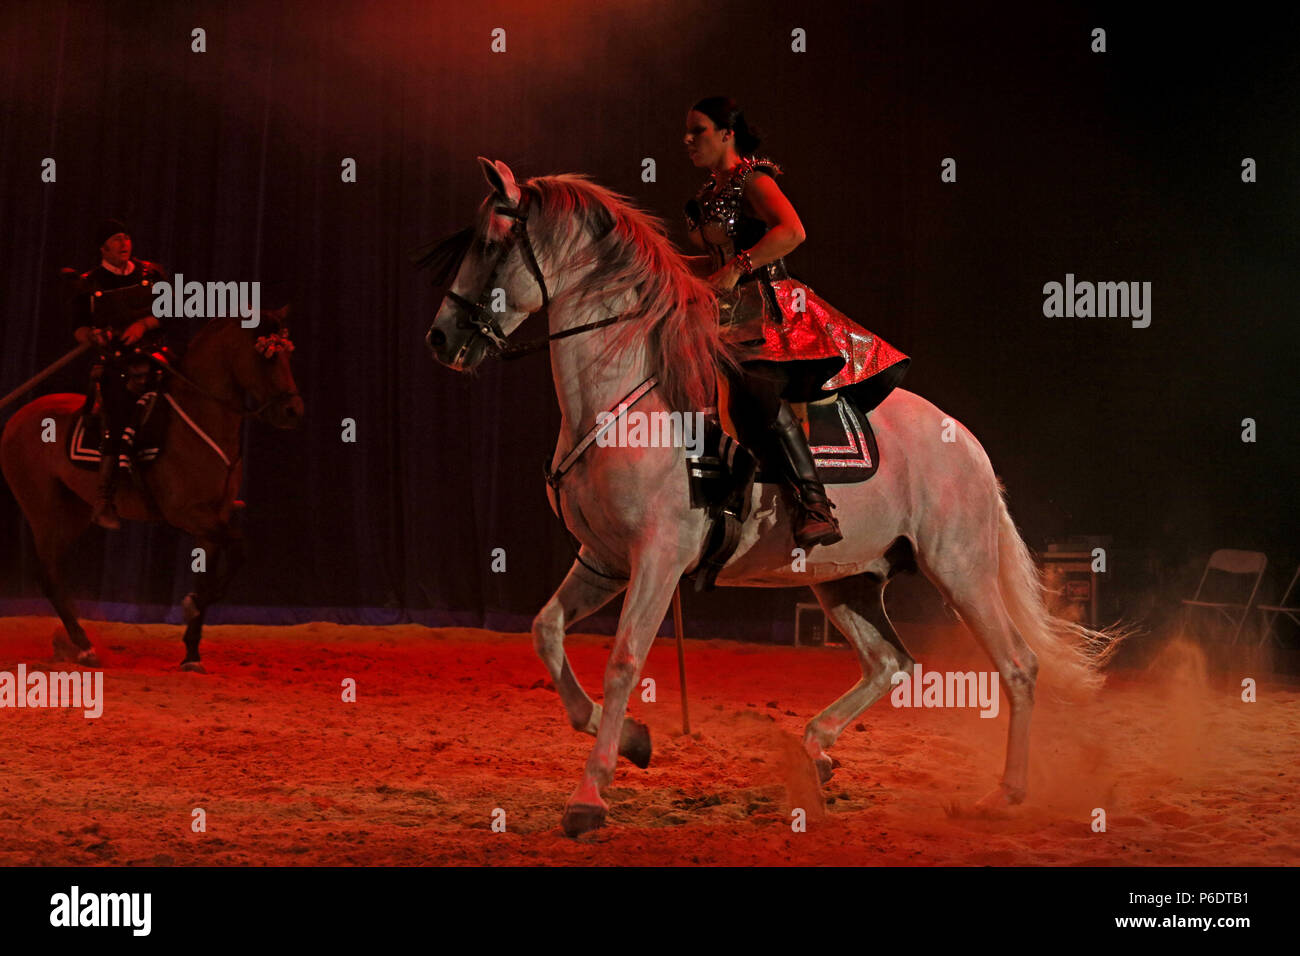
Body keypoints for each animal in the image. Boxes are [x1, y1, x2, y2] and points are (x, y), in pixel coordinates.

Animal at [1, 309, 304, 670]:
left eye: (287, 355)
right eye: (266, 355)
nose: (293, 412)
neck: (200, 416)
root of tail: (18, 418)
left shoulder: (215, 517)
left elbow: (211, 572)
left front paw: (191, 653)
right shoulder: (187, 513)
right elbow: (240, 549)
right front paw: (191, 605)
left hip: (71, 513)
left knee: (55, 571)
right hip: (44, 512)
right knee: (48, 575)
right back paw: (85, 647)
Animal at [425, 157, 1118, 837]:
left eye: (492, 243)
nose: (441, 339)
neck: (628, 401)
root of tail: (968, 443)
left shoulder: (657, 559)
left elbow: (624, 660)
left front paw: (589, 797)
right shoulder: (603, 560)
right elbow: (545, 632)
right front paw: (636, 741)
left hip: (960, 569)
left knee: (1018, 665)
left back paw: (1004, 796)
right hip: (848, 578)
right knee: (890, 663)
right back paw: (816, 751)